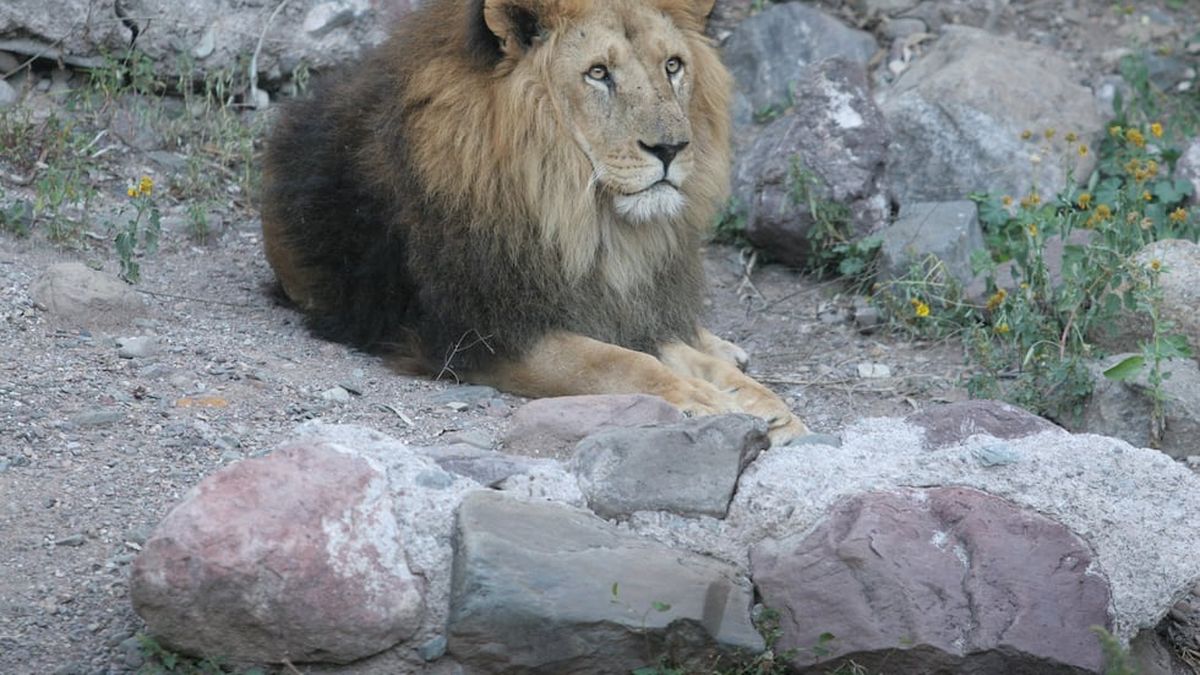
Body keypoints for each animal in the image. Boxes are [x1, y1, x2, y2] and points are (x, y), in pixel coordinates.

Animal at [260, 0, 808, 445]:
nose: (672, 148)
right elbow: (614, 361)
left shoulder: (616, 303)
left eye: (672, 66)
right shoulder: (478, 334)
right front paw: (705, 400)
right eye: (598, 73)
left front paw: (767, 406)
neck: (584, 220)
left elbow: (682, 354)